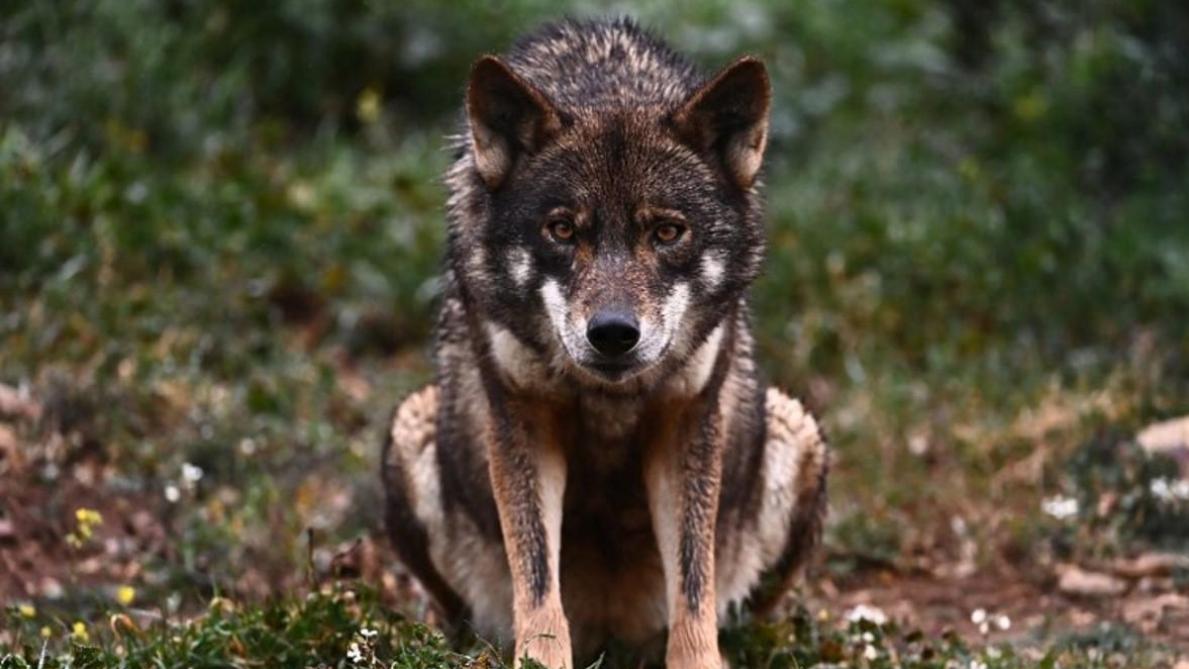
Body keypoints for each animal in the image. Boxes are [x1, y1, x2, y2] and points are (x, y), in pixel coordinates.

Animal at [381, 17, 828, 669]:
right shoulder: (521, 416)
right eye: (563, 229)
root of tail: (612, 634)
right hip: (407, 432)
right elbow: (538, 582)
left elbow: (693, 586)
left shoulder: (687, 417)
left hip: (799, 433)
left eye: (667, 231)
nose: (614, 333)